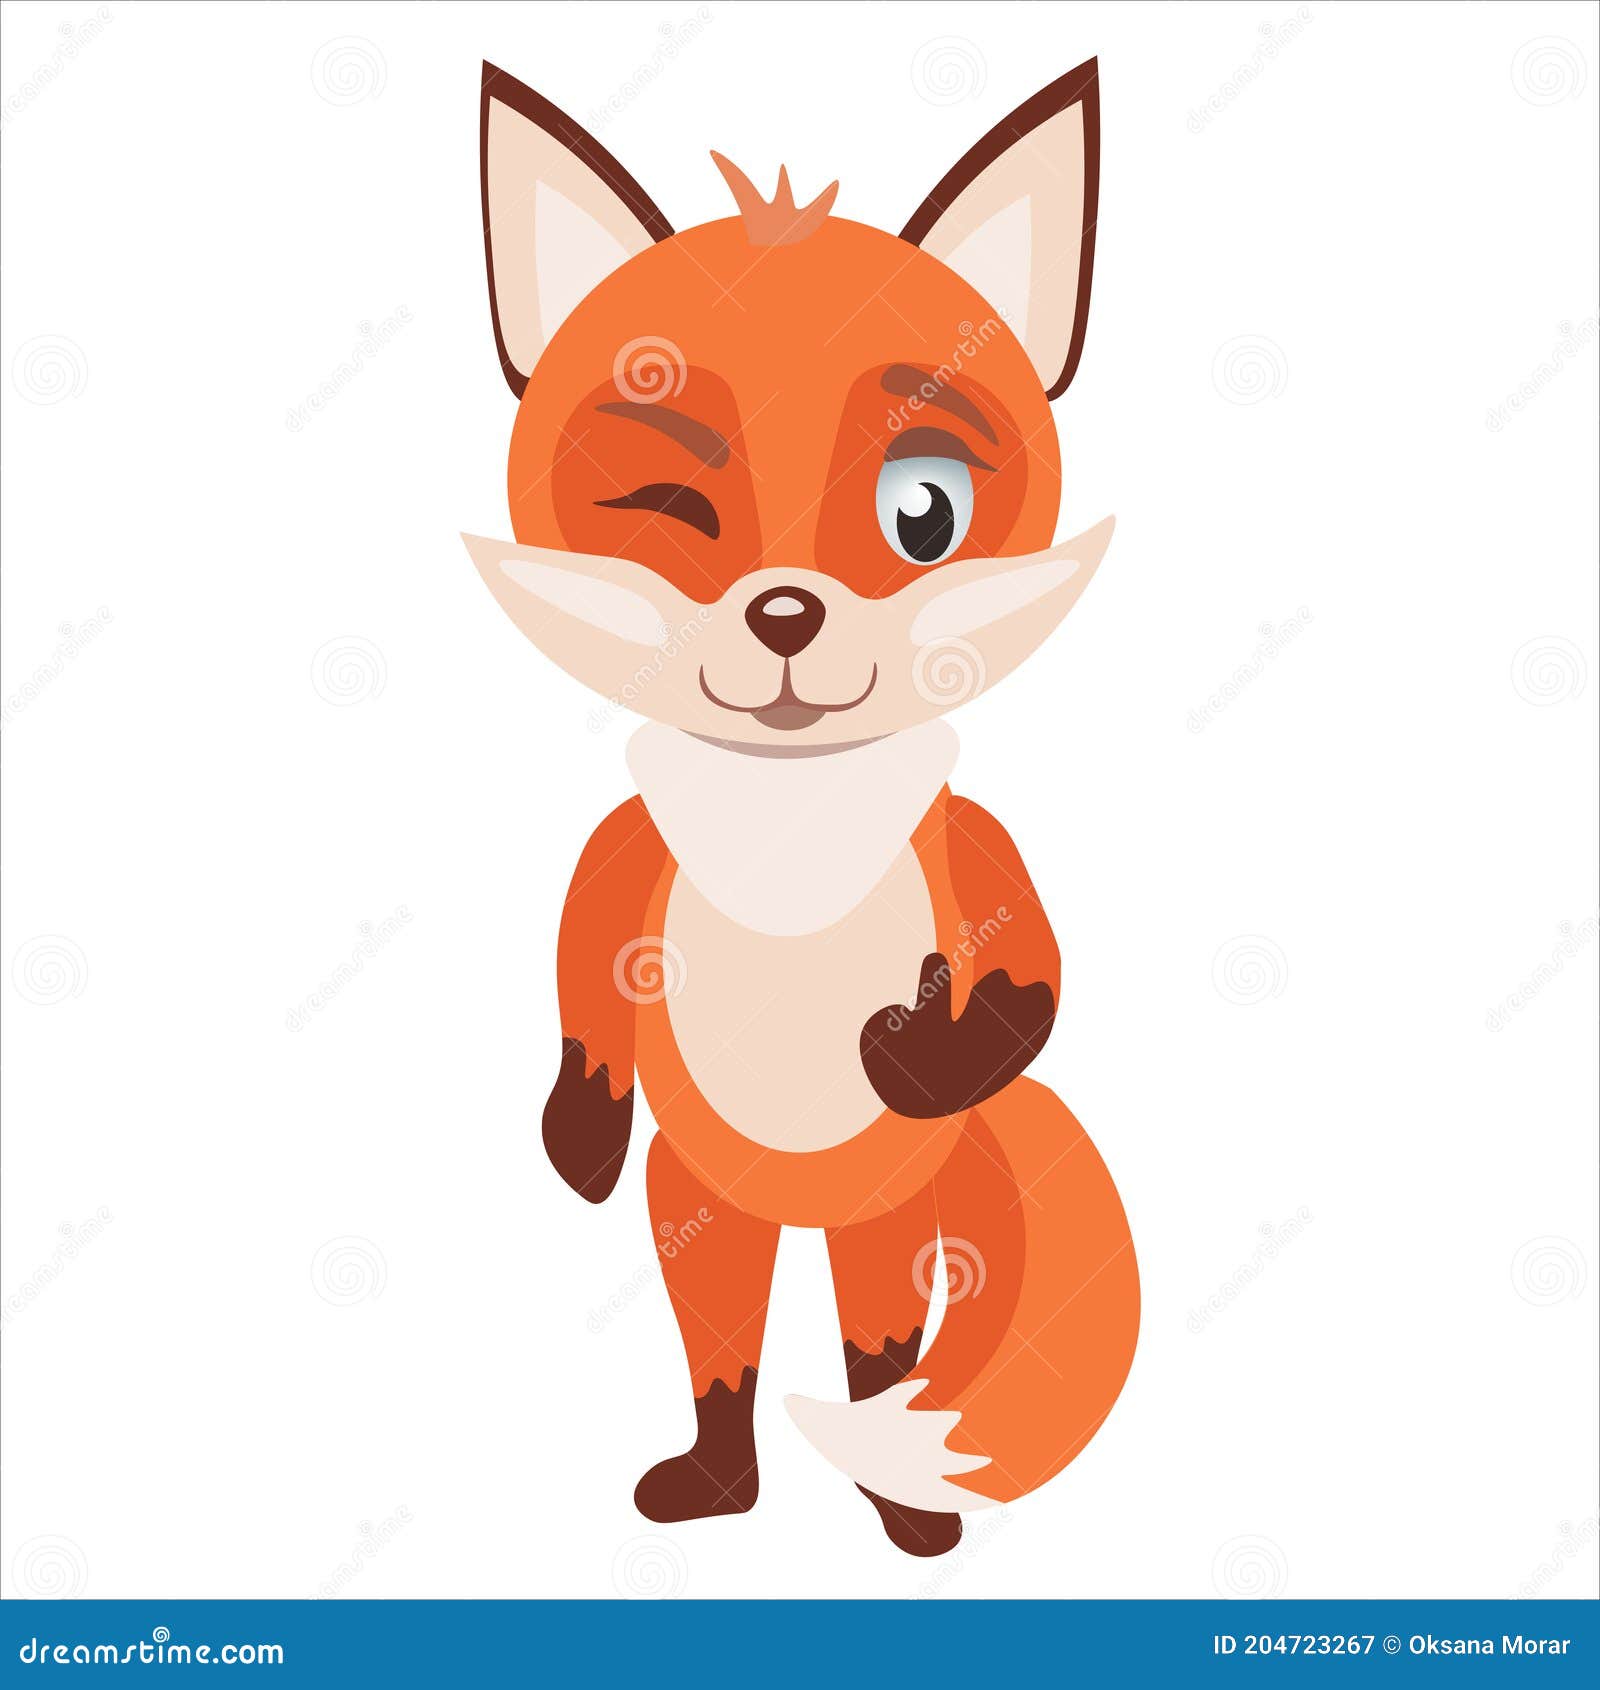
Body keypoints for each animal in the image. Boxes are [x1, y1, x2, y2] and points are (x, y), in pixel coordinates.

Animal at [464, 56, 1138, 1558]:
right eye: (666, 503)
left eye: (920, 511)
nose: (784, 613)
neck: (787, 834)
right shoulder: (625, 854)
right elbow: (583, 966)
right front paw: (575, 1128)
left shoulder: (971, 847)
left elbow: (1028, 980)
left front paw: (917, 1042)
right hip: (698, 1208)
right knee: (724, 1352)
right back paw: (714, 1485)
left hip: (885, 1222)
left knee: (881, 1358)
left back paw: (907, 1517)